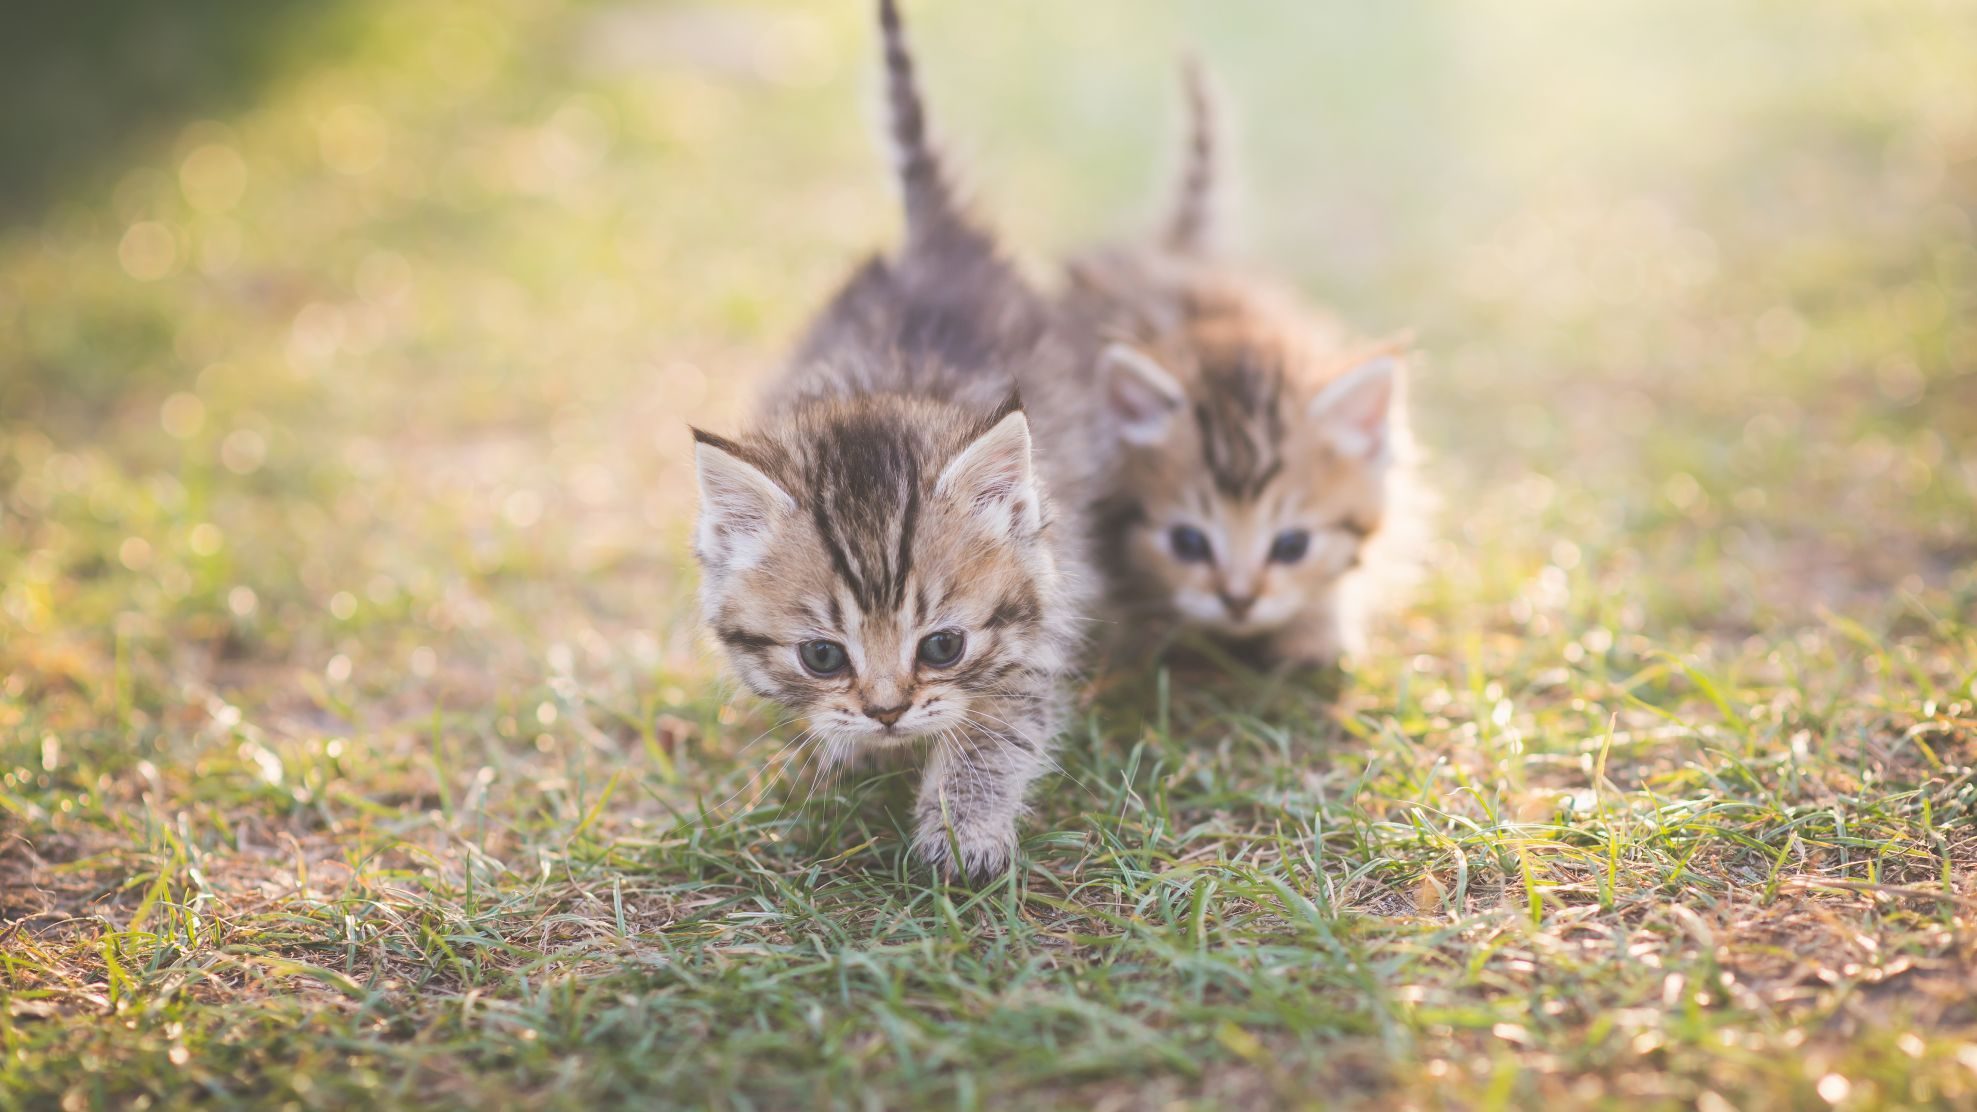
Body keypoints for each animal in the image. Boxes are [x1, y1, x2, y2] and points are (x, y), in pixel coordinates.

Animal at [691, 0, 1099, 878]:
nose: (885, 712)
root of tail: (932, 243)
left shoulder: (1048, 605)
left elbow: (1000, 723)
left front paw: (962, 826)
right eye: (821, 656)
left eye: (941, 646)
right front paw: (845, 744)